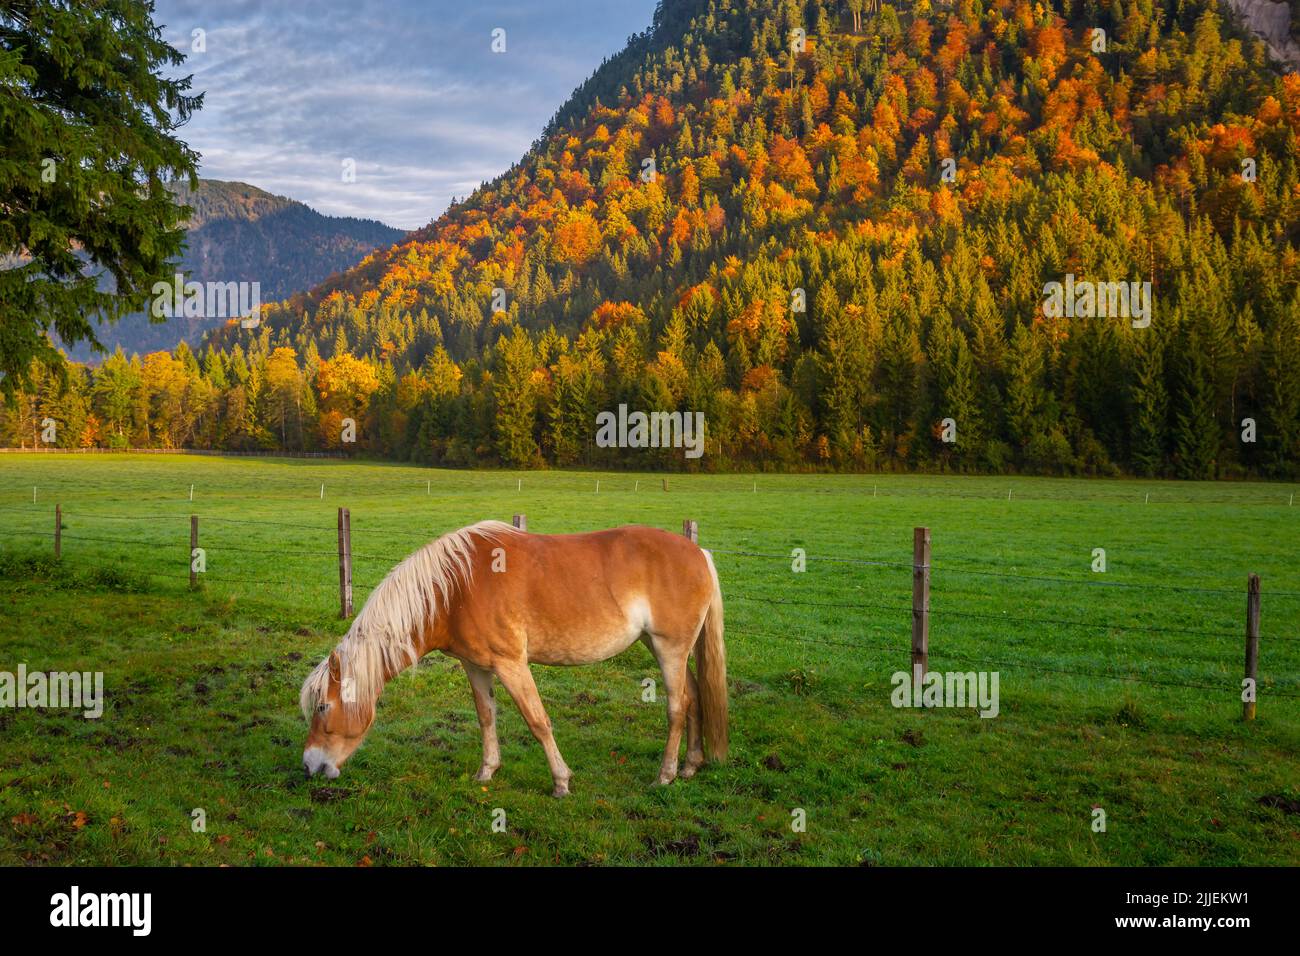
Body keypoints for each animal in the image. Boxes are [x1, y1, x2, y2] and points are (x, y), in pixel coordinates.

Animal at [300, 520, 727, 796]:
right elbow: (486, 716)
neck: (455, 587)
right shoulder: (476, 666)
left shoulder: (511, 664)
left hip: (669, 648)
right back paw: (691, 765)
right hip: (662, 647)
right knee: (692, 696)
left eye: (323, 706)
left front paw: (561, 782)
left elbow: (537, 721)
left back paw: (665, 775)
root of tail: (700, 554)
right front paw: (486, 771)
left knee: (676, 705)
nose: (309, 765)